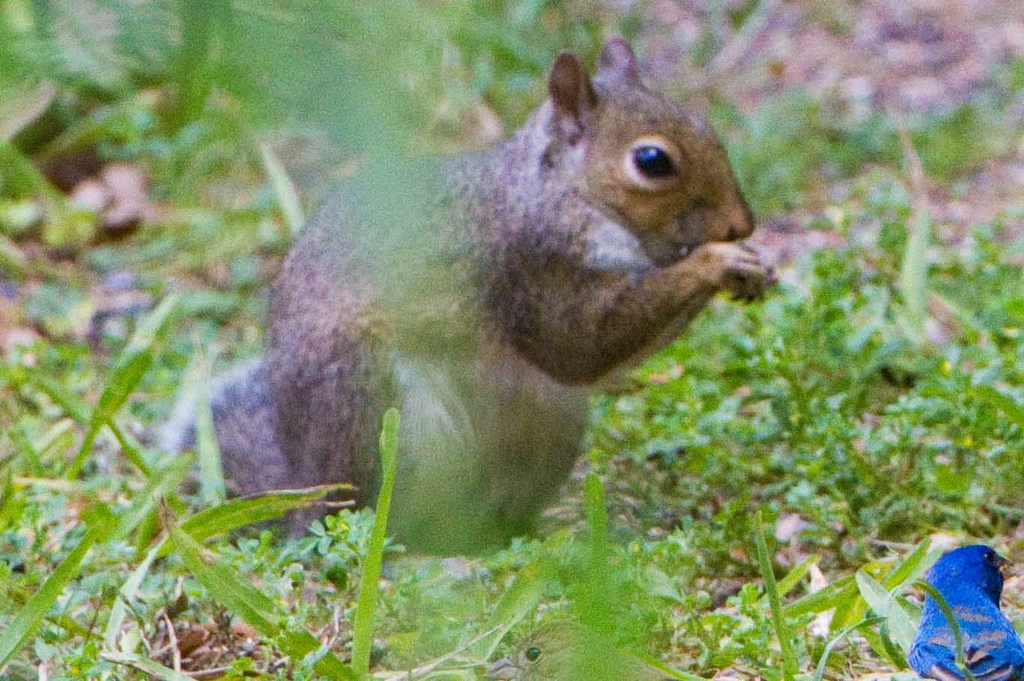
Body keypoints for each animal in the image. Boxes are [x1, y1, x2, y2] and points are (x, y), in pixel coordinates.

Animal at [165, 38, 773, 553]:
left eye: (705, 125)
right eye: (652, 161)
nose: (741, 223)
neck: (550, 194)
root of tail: (304, 486)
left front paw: (753, 266)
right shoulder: (529, 272)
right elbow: (579, 346)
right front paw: (719, 262)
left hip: (548, 427)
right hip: (373, 409)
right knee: (371, 524)